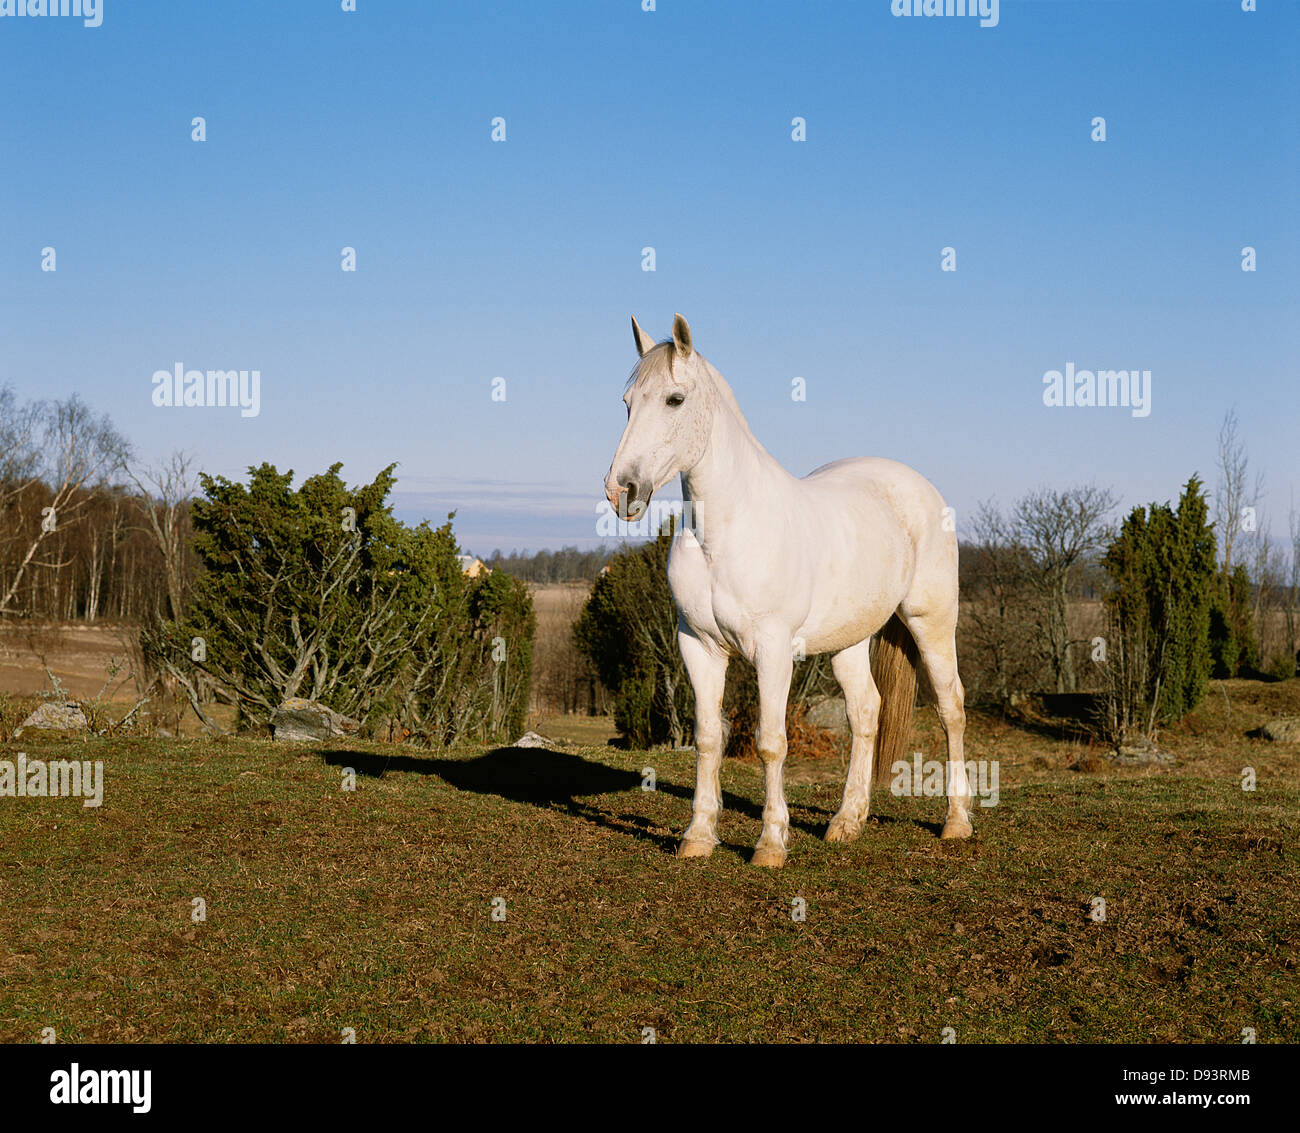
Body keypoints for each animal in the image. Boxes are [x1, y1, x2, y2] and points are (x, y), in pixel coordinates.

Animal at [603, 314, 970, 868]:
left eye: (674, 399)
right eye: (626, 402)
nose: (622, 491)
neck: (724, 533)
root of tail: (917, 485)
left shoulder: (773, 650)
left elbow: (771, 742)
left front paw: (771, 843)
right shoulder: (698, 646)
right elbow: (708, 737)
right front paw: (698, 836)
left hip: (932, 622)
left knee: (952, 707)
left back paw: (956, 822)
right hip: (849, 641)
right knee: (866, 711)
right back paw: (847, 822)